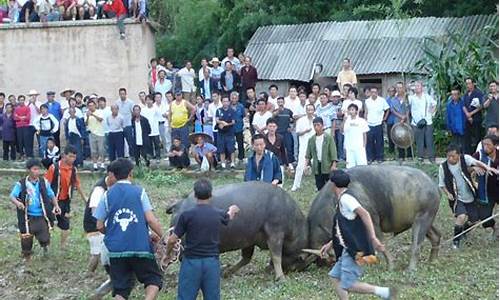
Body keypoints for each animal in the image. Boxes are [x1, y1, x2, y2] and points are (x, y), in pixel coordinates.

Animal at [166, 180, 310, 282]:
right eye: (300, 260)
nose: (298, 269)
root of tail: (179, 204)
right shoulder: (275, 234)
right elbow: (276, 256)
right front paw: (281, 277)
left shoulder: (249, 240)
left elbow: (246, 258)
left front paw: (227, 272)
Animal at [306, 165, 440, 270]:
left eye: (328, 261)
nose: (330, 264)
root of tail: (434, 186)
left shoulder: (371, 220)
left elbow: (379, 242)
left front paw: (390, 266)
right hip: (425, 219)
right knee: (436, 236)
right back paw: (432, 261)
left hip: (422, 218)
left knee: (416, 244)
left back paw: (411, 269)